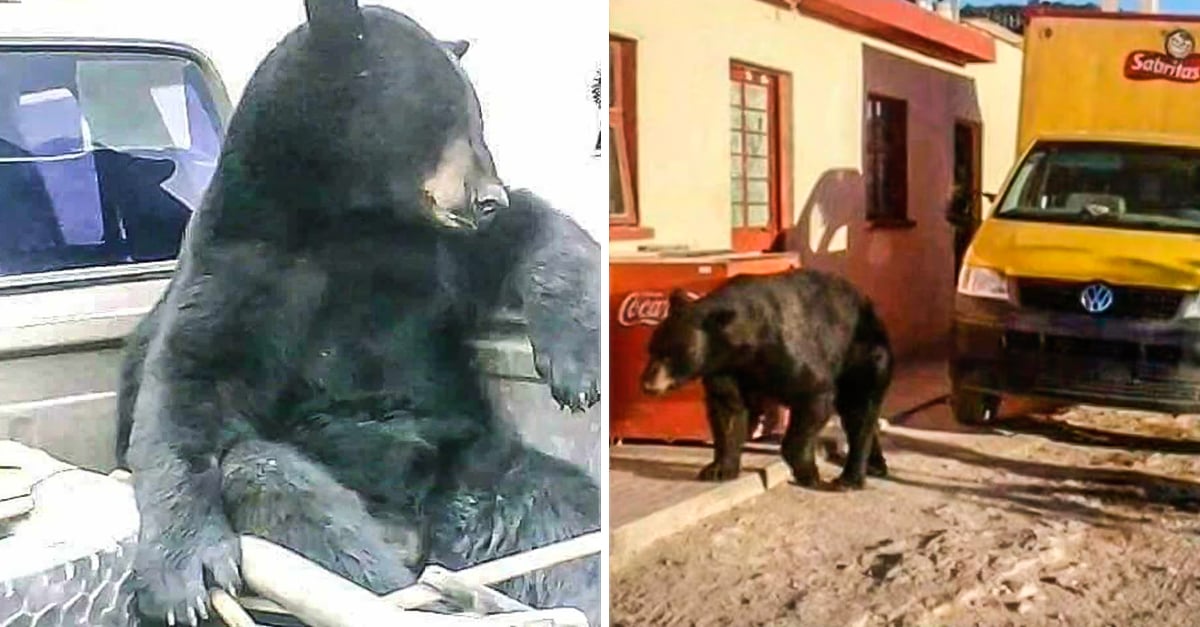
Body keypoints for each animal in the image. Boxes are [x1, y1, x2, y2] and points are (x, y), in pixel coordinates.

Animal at [114, 2, 601, 625]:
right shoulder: (244, 259)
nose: (490, 197)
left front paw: (577, 364)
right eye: (449, 115)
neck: (351, 217)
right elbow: (189, 381)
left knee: (556, 510)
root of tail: (419, 532)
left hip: (481, 473)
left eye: (478, 118)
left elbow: (538, 233)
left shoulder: (439, 251)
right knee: (276, 485)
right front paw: (183, 574)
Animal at [639, 268, 892, 491]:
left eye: (670, 353)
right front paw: (718, 469)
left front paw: (808, 473)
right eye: (651, 349)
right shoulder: (726, 370)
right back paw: (875, 464)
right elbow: (728, 412)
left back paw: (849, 479)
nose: (647, 384)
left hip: (863, 355)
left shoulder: (792, 353)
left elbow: (813, 395)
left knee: (860, 408)